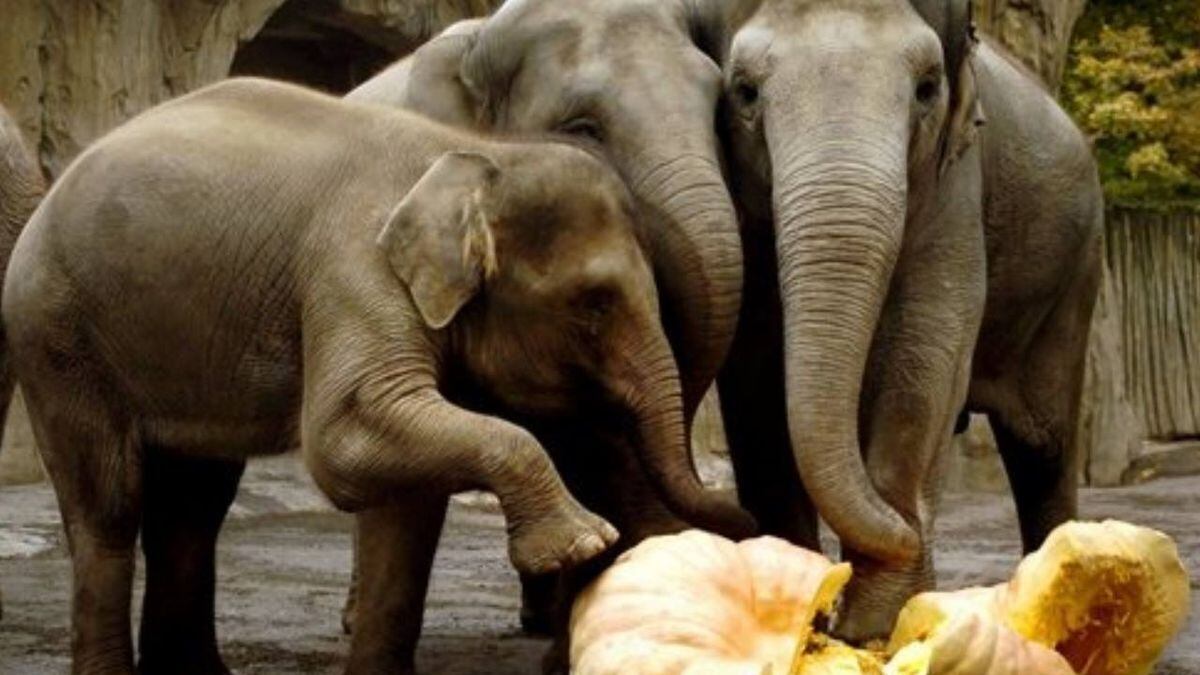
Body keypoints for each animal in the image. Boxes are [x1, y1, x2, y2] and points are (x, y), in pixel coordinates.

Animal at [3, 78, 749, 675]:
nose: (745, 517)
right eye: (594, 304)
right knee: (109, 504)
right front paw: (583, 539)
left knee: (193, 504)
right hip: (57, 335)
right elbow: (345, 437)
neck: (473, 155)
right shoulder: (351, 266)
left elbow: (402, 495)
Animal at [718, 0, 1103, 640]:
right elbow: (754, 379)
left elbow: (924, 345)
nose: (912, 528)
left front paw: (875, 621)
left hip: (1076, 275)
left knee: (1044, 444)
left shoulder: (956, 182)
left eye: (926, 89)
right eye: (744, 92)